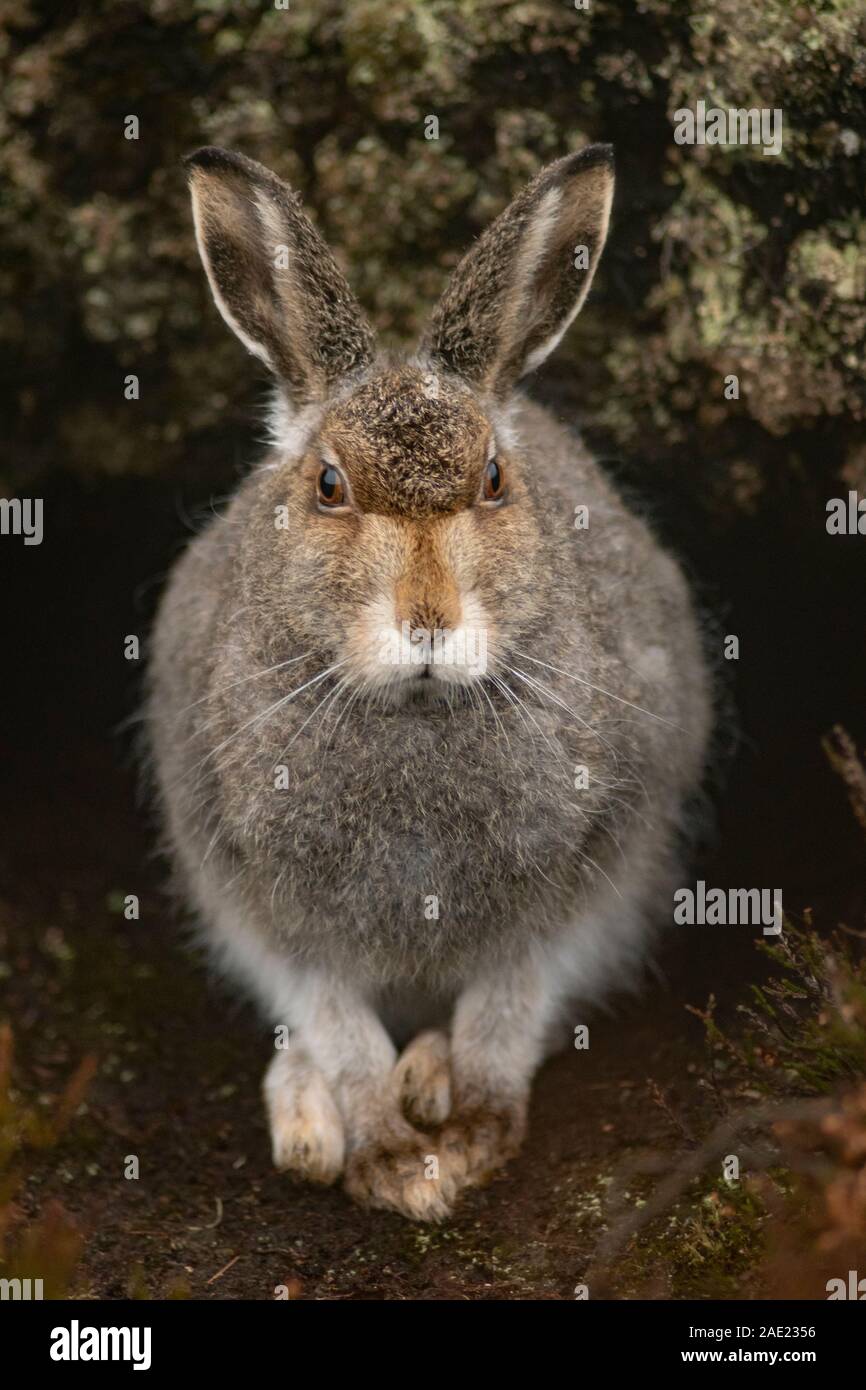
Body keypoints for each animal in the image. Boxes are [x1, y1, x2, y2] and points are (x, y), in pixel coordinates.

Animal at [147, 143, 712, 1222]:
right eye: (329, 486)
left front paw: (472, 1137)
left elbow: (505, 1011)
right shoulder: (271, 906)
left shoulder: (572, 895)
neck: (413, 707)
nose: (428, 626)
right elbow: (336, 1022)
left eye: (492, 479)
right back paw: (312, 1123)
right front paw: (391, 1162)